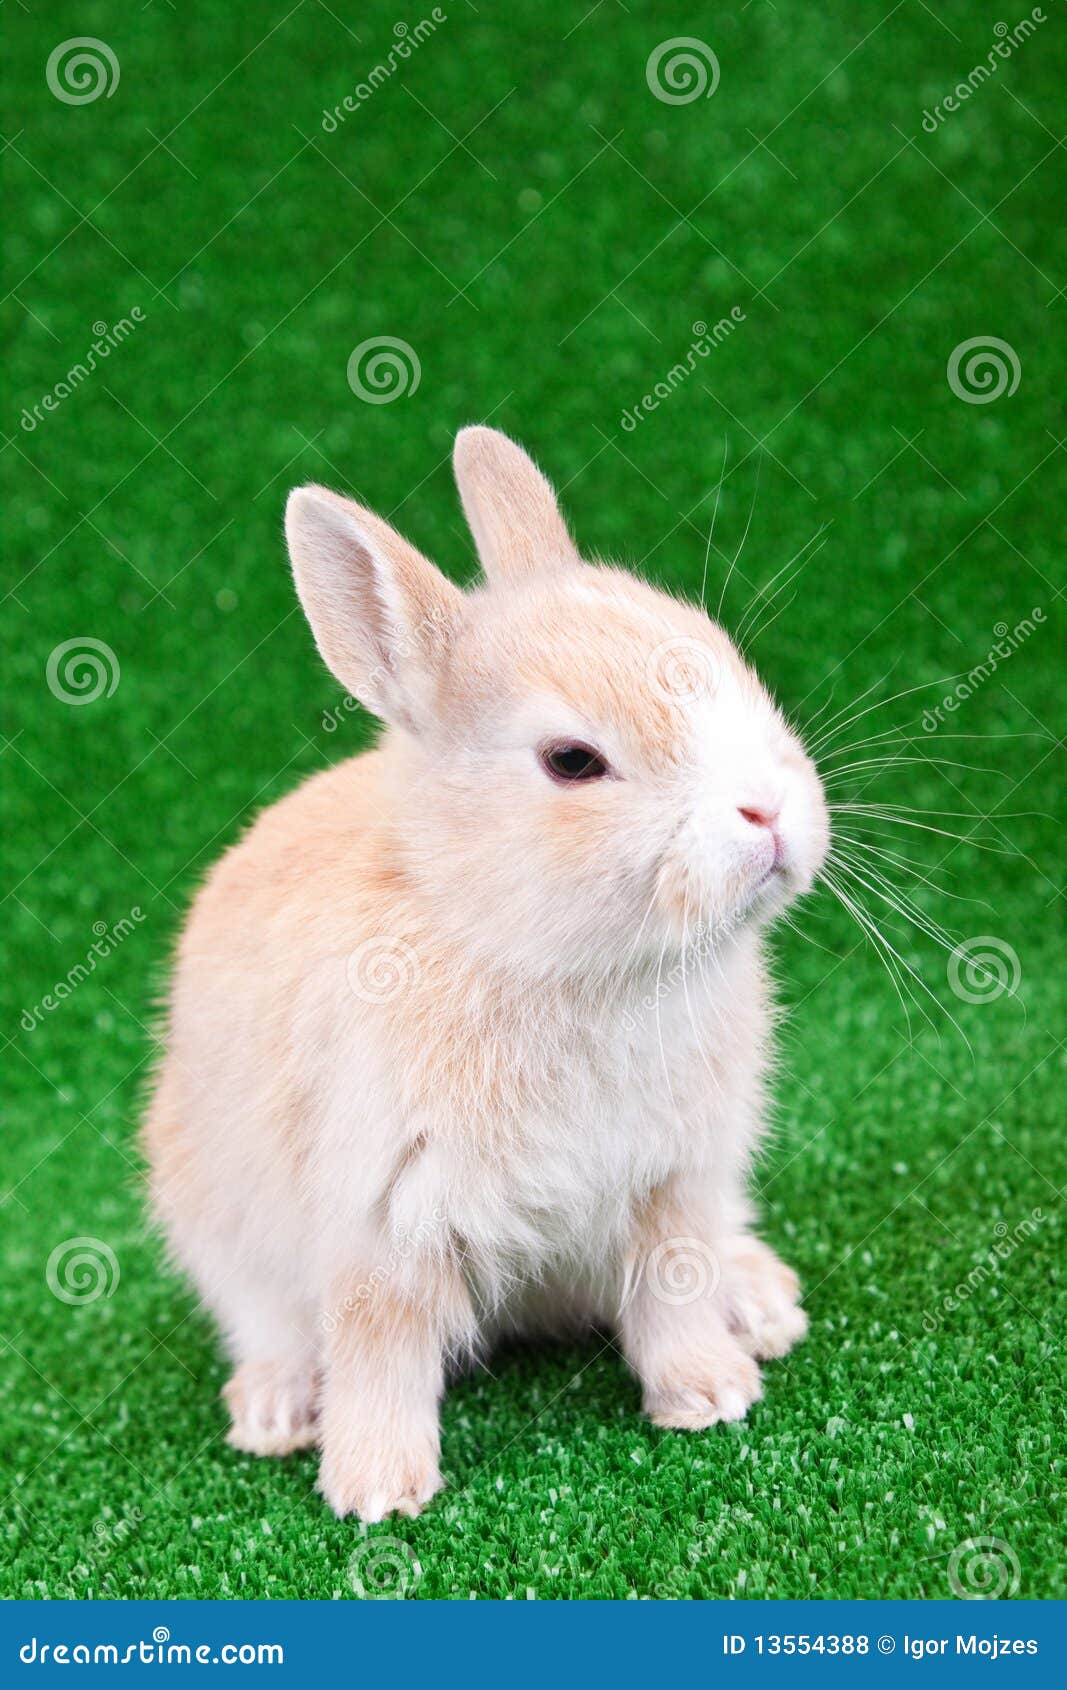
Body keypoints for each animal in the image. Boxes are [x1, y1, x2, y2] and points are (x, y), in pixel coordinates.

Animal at [144, 426, 830, 1522]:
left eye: (725, 661)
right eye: (572, 761)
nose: (767, 811)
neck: (532, 950)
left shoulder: (674, 1183)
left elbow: (671, 1291)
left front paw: (709, 1396)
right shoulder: (380, 1220)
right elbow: (379, 1353)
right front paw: (377, 1491)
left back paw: (762, 1306)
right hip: (218, 1226)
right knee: (270, 1324)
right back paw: (274, 1413)